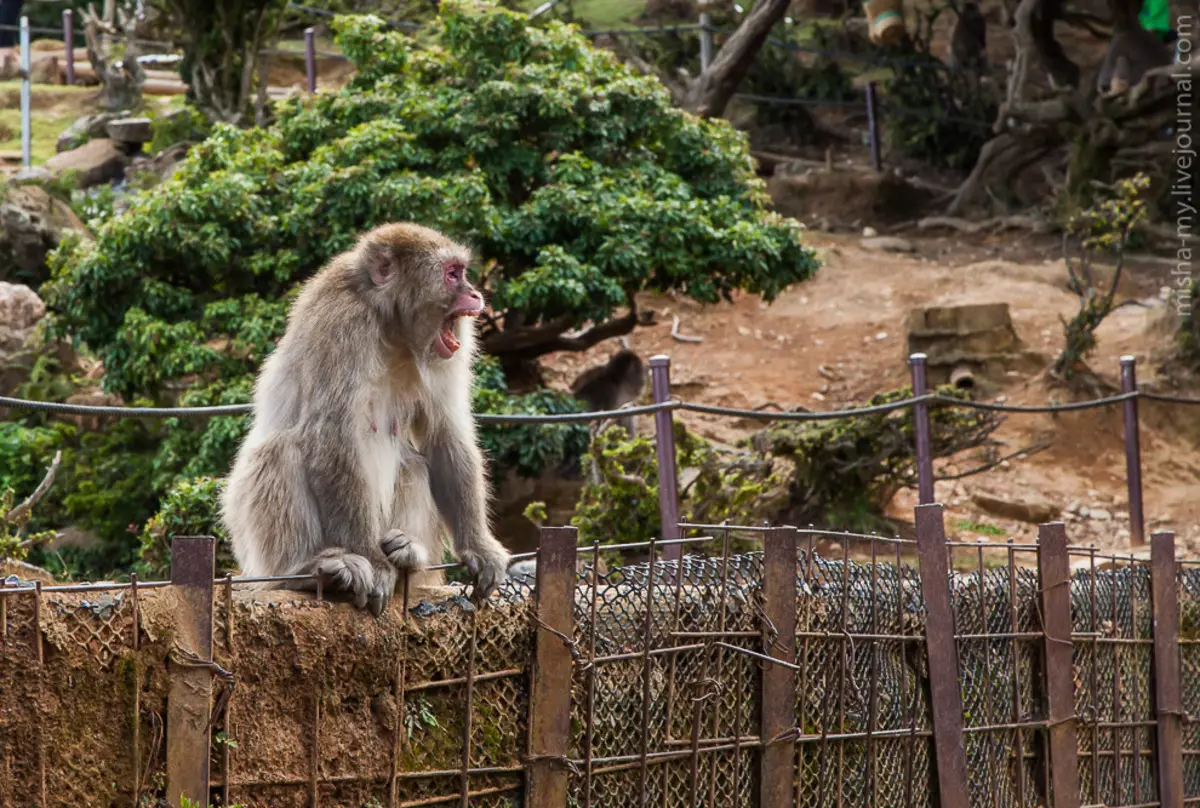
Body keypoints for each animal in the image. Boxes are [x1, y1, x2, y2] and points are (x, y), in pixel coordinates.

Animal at [220, 220, 511, 612]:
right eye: (453, 275)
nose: (475, 294)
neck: (390, 328)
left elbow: (445, 433)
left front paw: (478, 547)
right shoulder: (342, 324)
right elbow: (329, 436)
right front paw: (373, 563)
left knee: (414, 465)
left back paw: (407, 555)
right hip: (254, 552)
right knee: (280, 451)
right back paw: (305, 570)